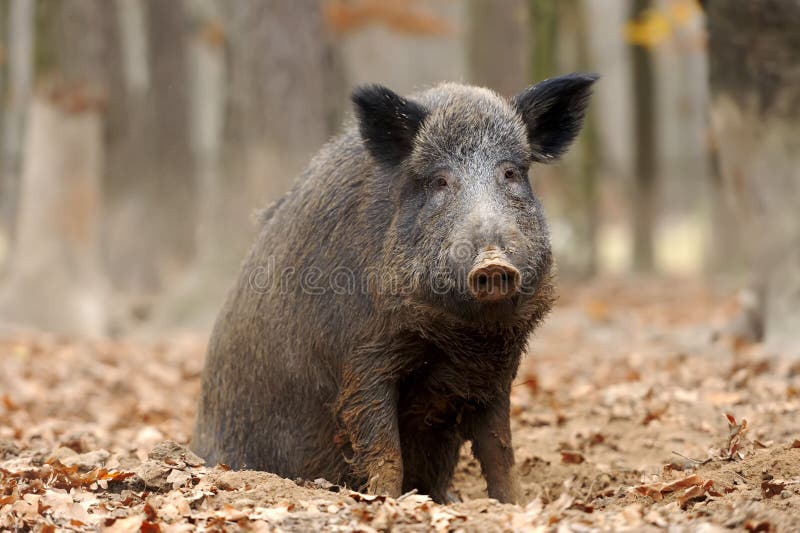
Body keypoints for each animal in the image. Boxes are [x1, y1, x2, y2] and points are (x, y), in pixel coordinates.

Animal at [192, 73, 597, 504]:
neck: (464, 337)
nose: (493, 263)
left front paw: (514, 504)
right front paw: (386, 500)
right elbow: (384, 447)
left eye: (511, 173)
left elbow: (499, 448)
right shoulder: (362, 358)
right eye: (439, 180)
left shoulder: (498, 369)